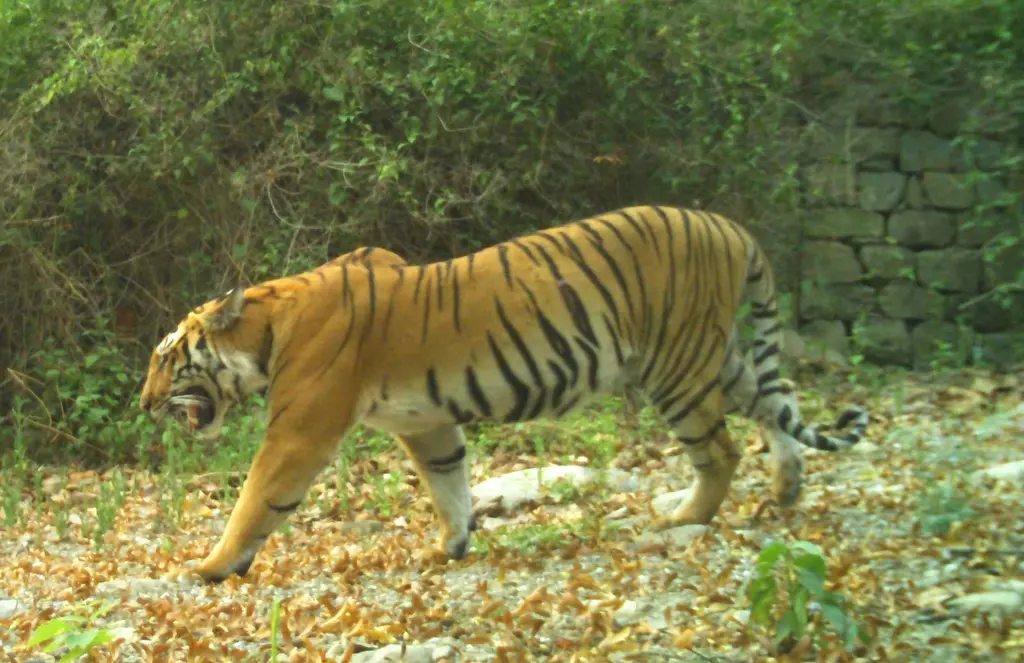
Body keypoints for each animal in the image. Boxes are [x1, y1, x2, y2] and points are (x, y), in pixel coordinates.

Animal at [139, 206, 869, 584]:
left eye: (165, 358)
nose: (142, 403)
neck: (270, 322)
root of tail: (727, 224)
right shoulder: (427, 422)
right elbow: (450, 484)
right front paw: (450, 547)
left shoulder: (300, 430)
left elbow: (255, 498)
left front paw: (208, 566)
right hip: (721, 359)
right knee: (779, 407)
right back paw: (786, 491)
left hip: (678, 363)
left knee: (720, 450)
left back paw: (682, 517)